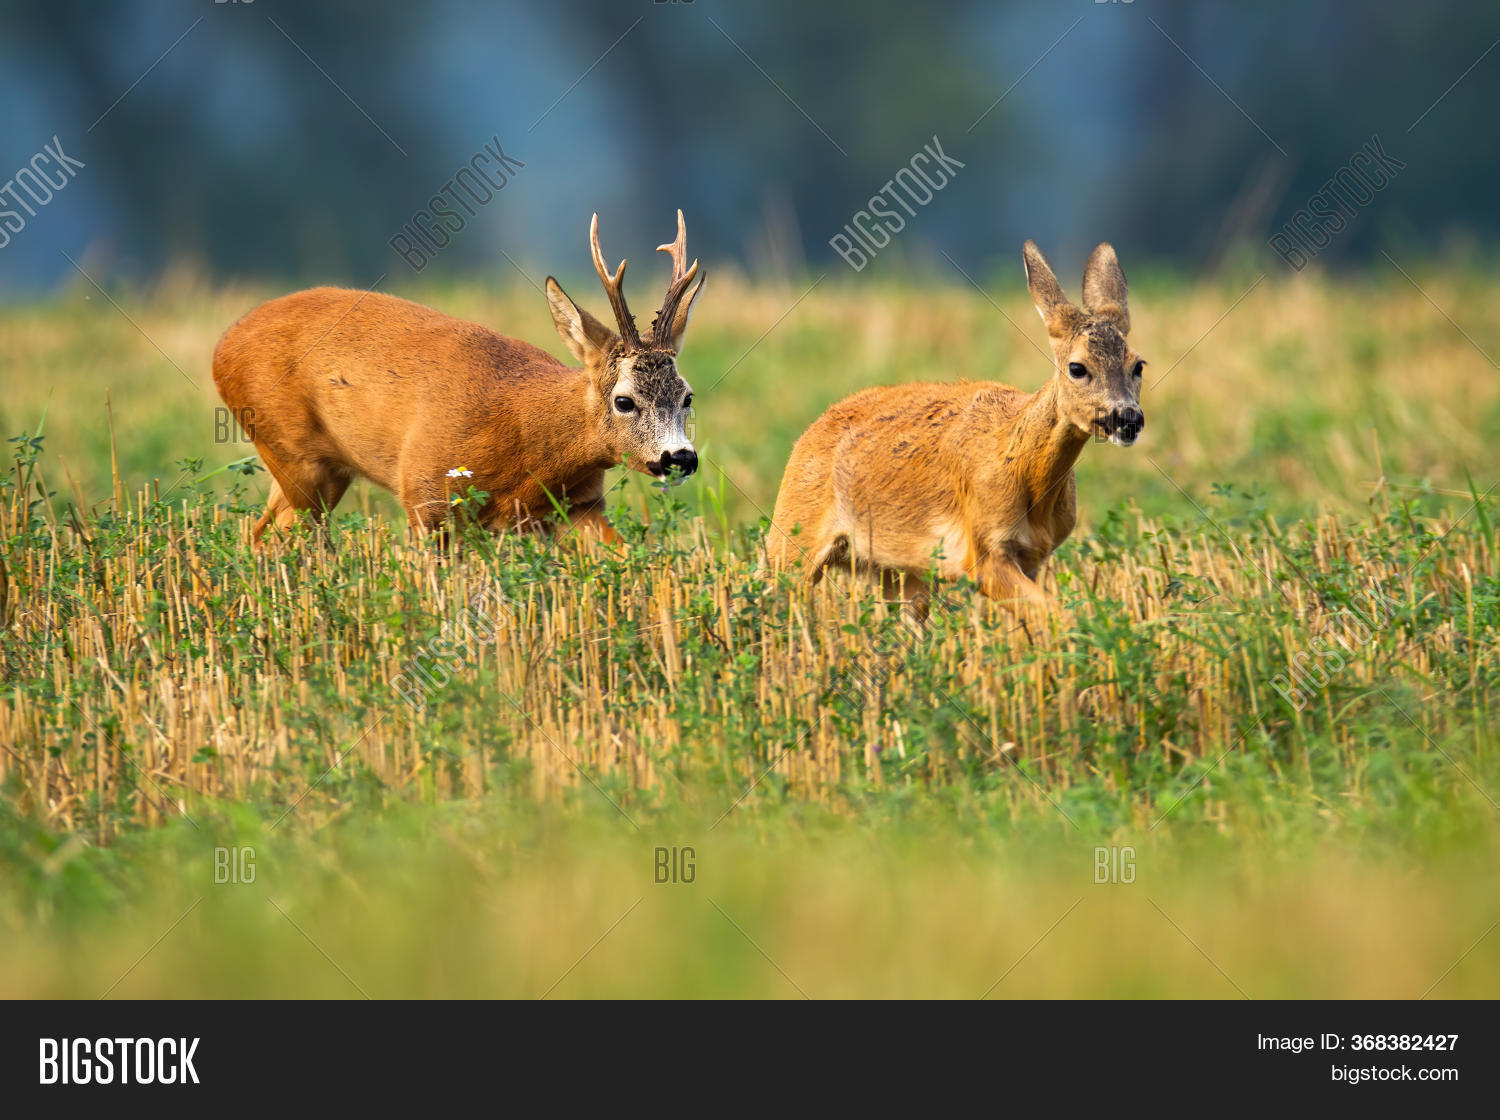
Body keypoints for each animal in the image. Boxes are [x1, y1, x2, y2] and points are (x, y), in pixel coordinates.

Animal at [211, 210, 705, 546]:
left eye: (687, 396)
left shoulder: (580, 505)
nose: (680, 457)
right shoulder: (423, 496)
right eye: (624, 400)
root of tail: (222, 347)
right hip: (291, 453)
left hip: (318, 470)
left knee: (264, 535)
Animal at [765, 240, 1145, 613]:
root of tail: (811, 431)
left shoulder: (1033, 558)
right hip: (790, 539)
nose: (1128, 418)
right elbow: (1057, 614)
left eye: (1138, 365)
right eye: (1077, 367)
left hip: (900, 572)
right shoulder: (983, 553)